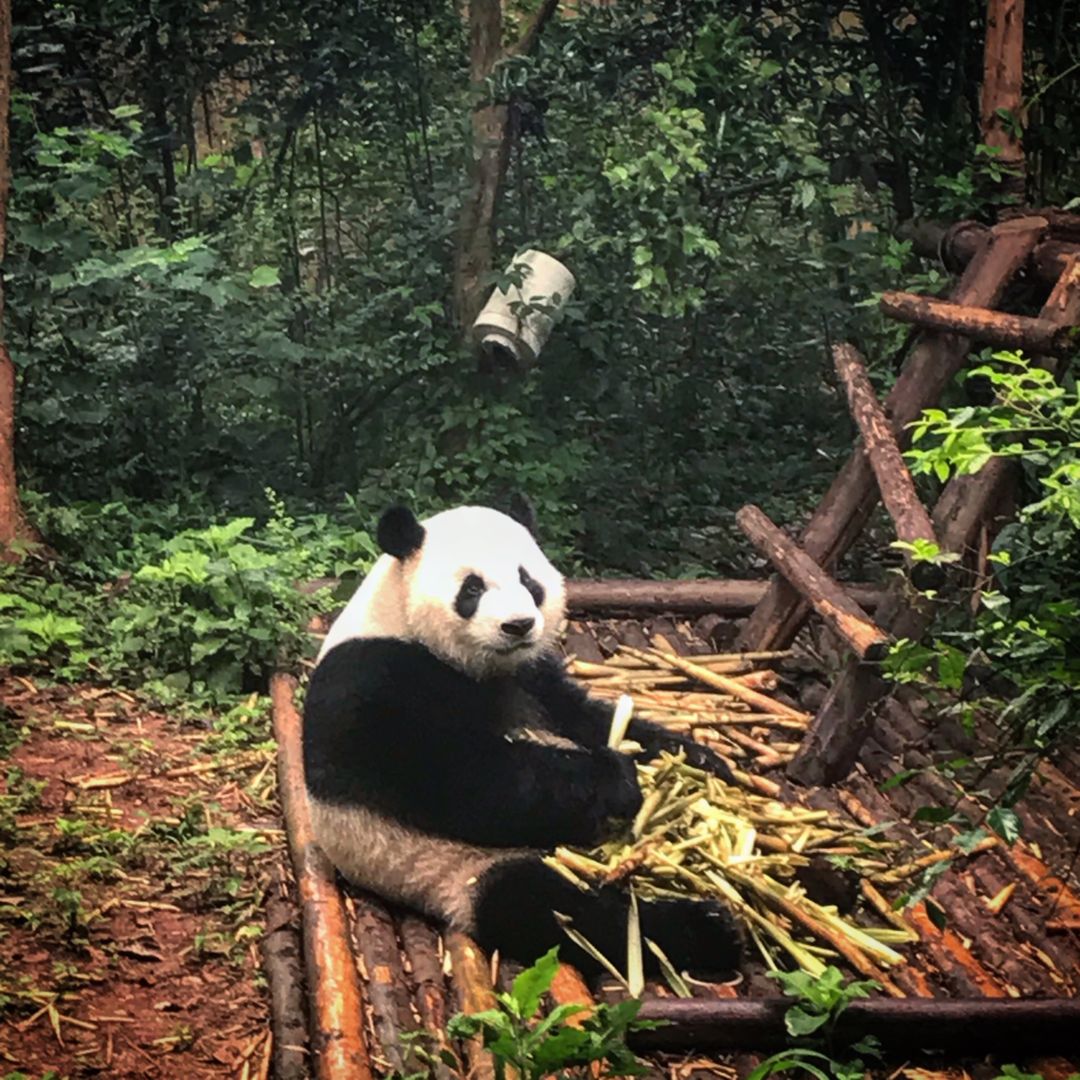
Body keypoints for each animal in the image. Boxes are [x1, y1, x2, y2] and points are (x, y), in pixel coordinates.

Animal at [302, 500, 743, 980]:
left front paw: (701, 762)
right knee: (555, 908)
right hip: (457, 865)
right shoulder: (372, 678)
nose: (518, 625)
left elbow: (584, 717)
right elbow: (458, 780)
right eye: (472, 588)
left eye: (528, 580)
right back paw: (706, 930)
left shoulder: (532, 674)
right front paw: (617, 779)